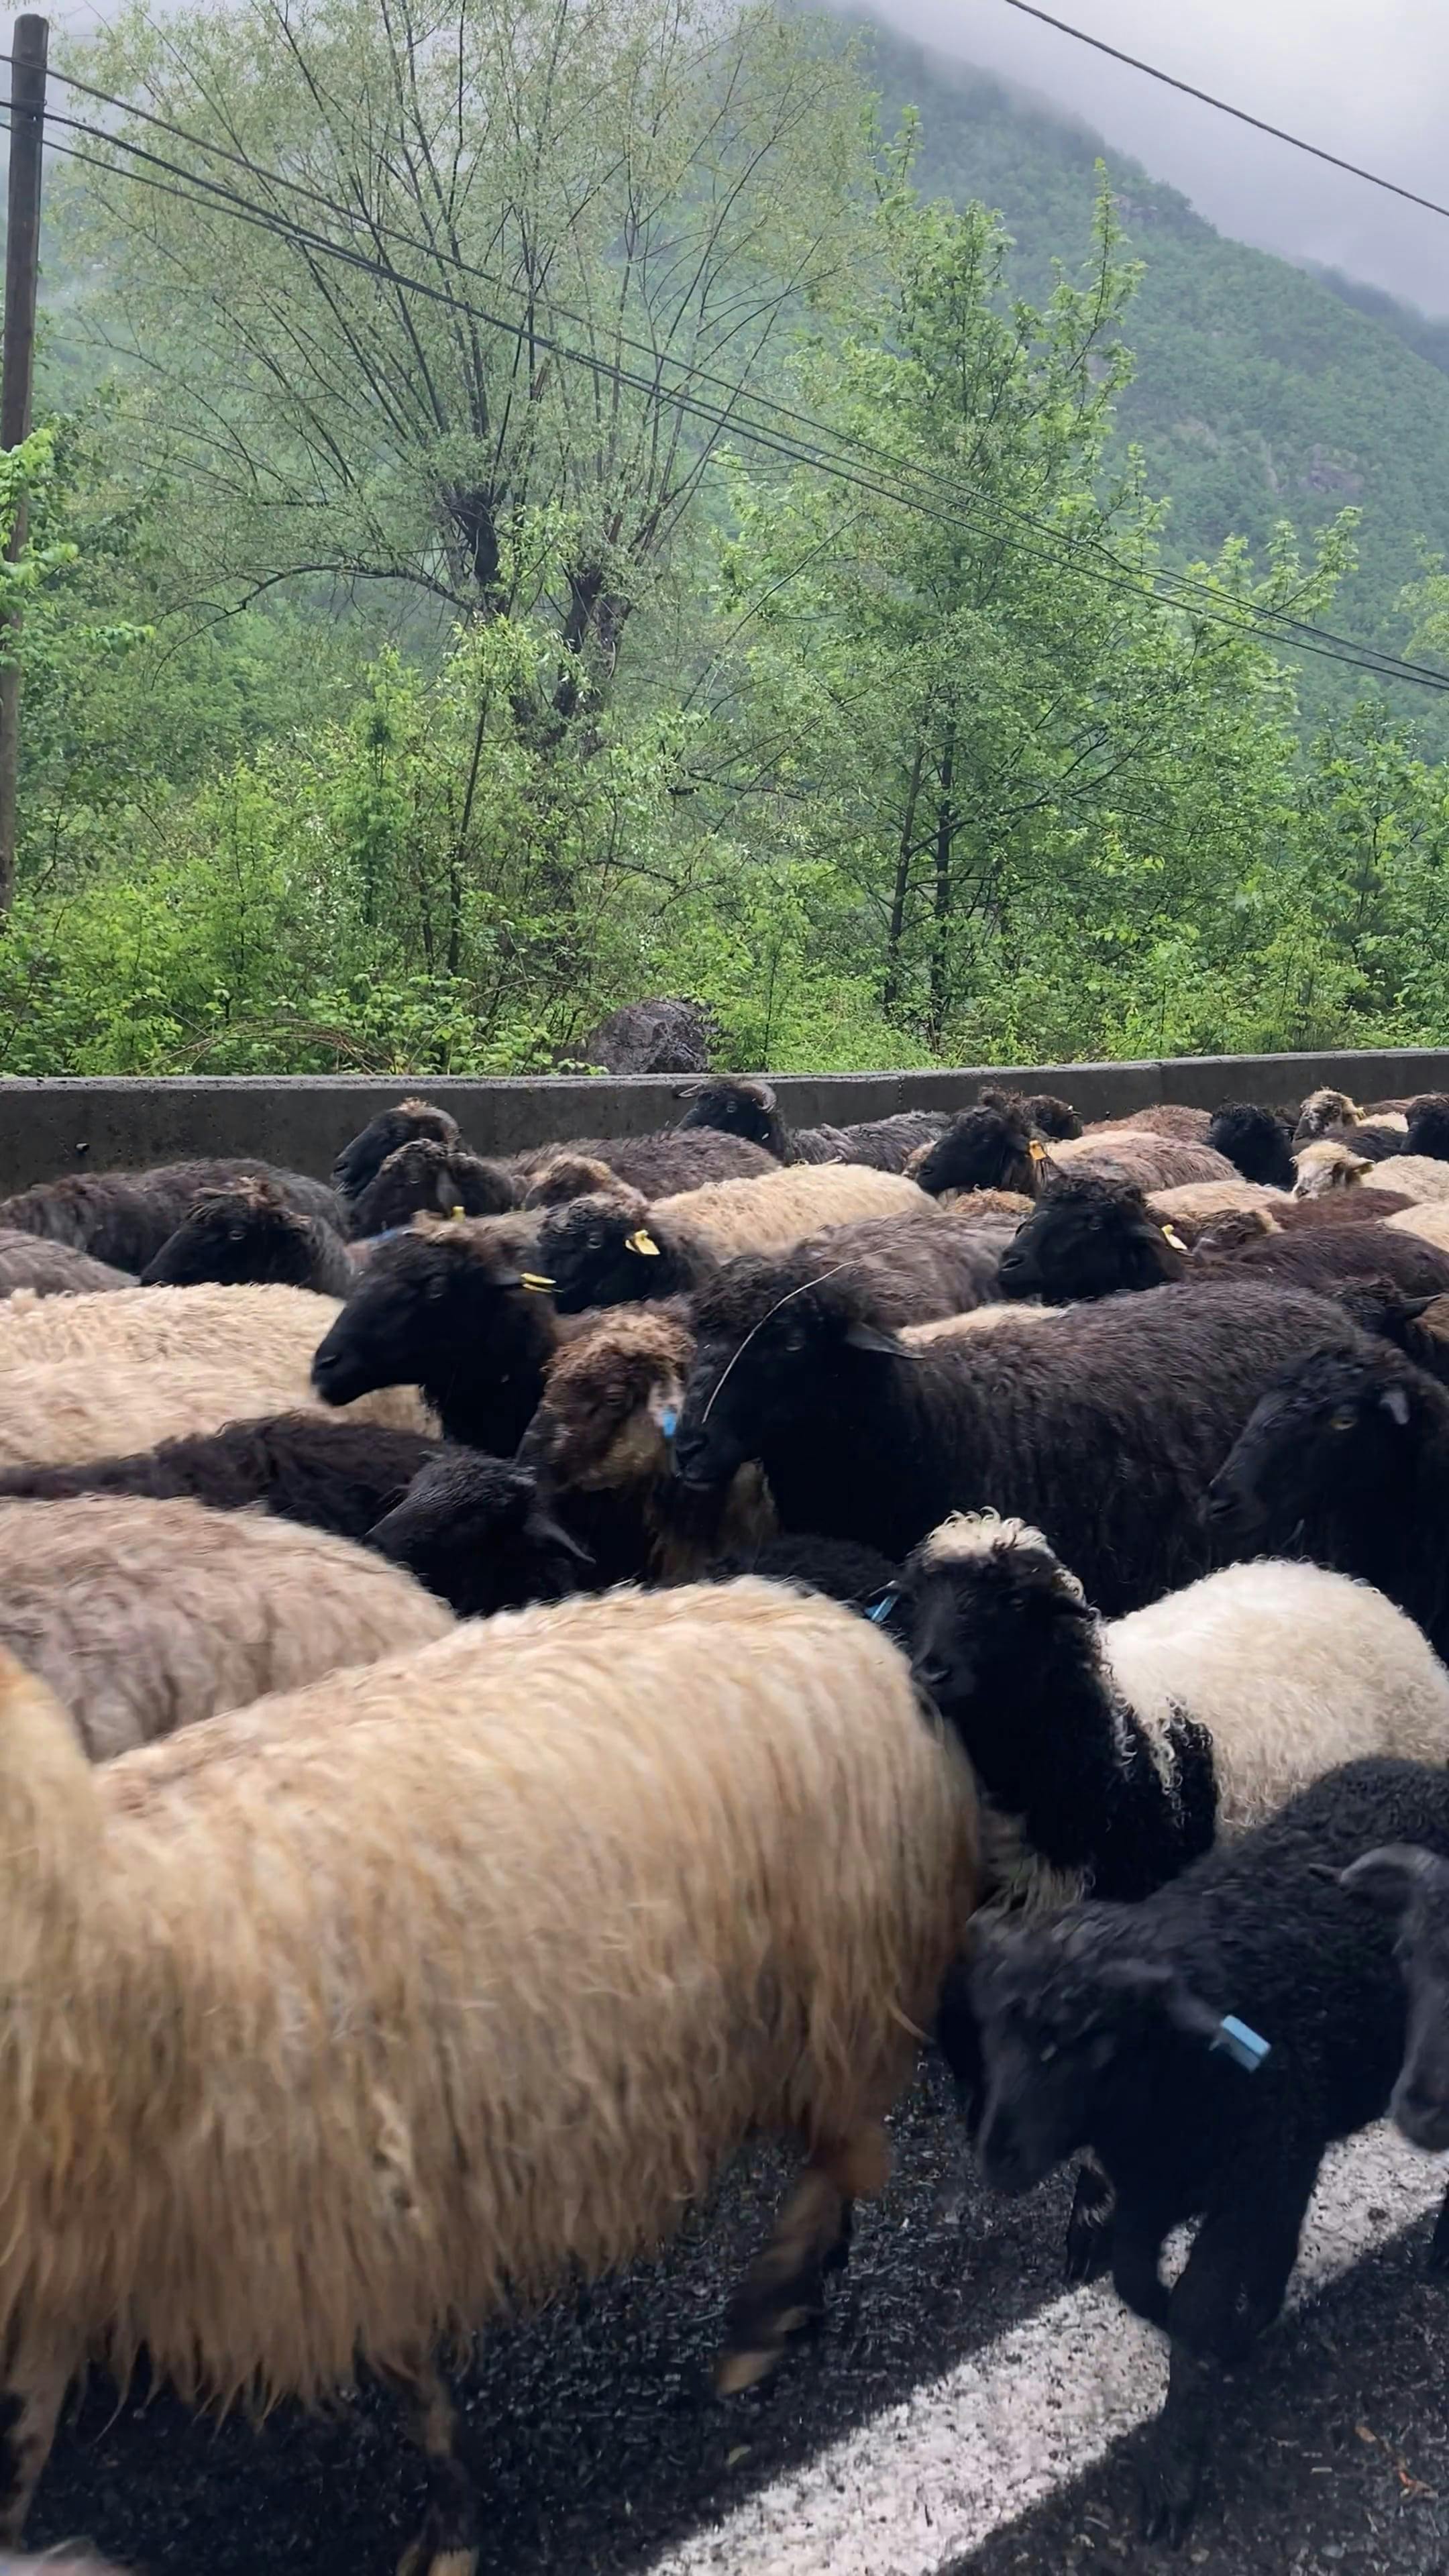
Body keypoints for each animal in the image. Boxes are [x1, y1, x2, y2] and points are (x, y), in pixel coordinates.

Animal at [0, 1585, 979, 2548]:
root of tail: (848, 1628)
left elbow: (407, 2373)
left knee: (844, 2151)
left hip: (839, 1983)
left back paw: (766, 2311)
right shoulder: (79, 2257)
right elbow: (27, 2424)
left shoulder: (351, 2214)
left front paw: (451, 2521)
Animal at [965, 1757, 1449, 2542]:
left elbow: (1202, 2299)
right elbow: (1133, 2270)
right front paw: (1200, 2318)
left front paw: (1173, 2473)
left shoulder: (1255, 2161)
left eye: (1088, 2039)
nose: (996, 2159)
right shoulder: (1178, 2175)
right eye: (990, 2031)